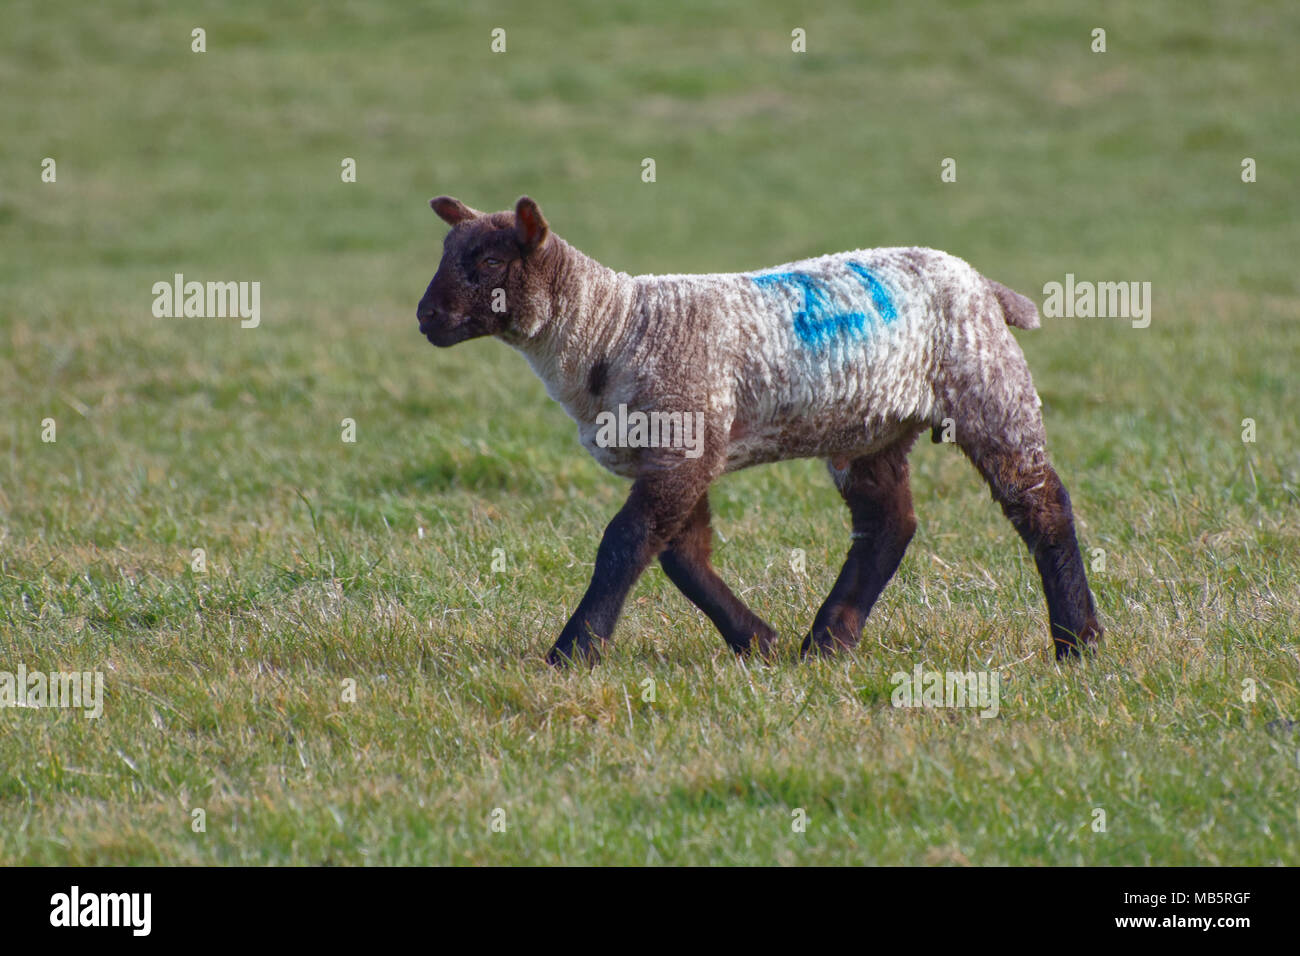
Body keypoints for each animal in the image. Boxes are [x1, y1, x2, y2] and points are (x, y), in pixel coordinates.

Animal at [415, 195, 1103, 666]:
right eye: (445, 255)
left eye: (490, 259)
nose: (425, 317)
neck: (611, 326)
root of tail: (983, 283)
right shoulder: (676, 451)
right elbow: (680, 556)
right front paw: (758, 641)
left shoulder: (681, 442)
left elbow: (625, 545)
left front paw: (573, 652)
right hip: (871, 430)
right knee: (888, 525)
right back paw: (827, 640)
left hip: (990, 388)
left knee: (1043, 506)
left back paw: (1079, 642)